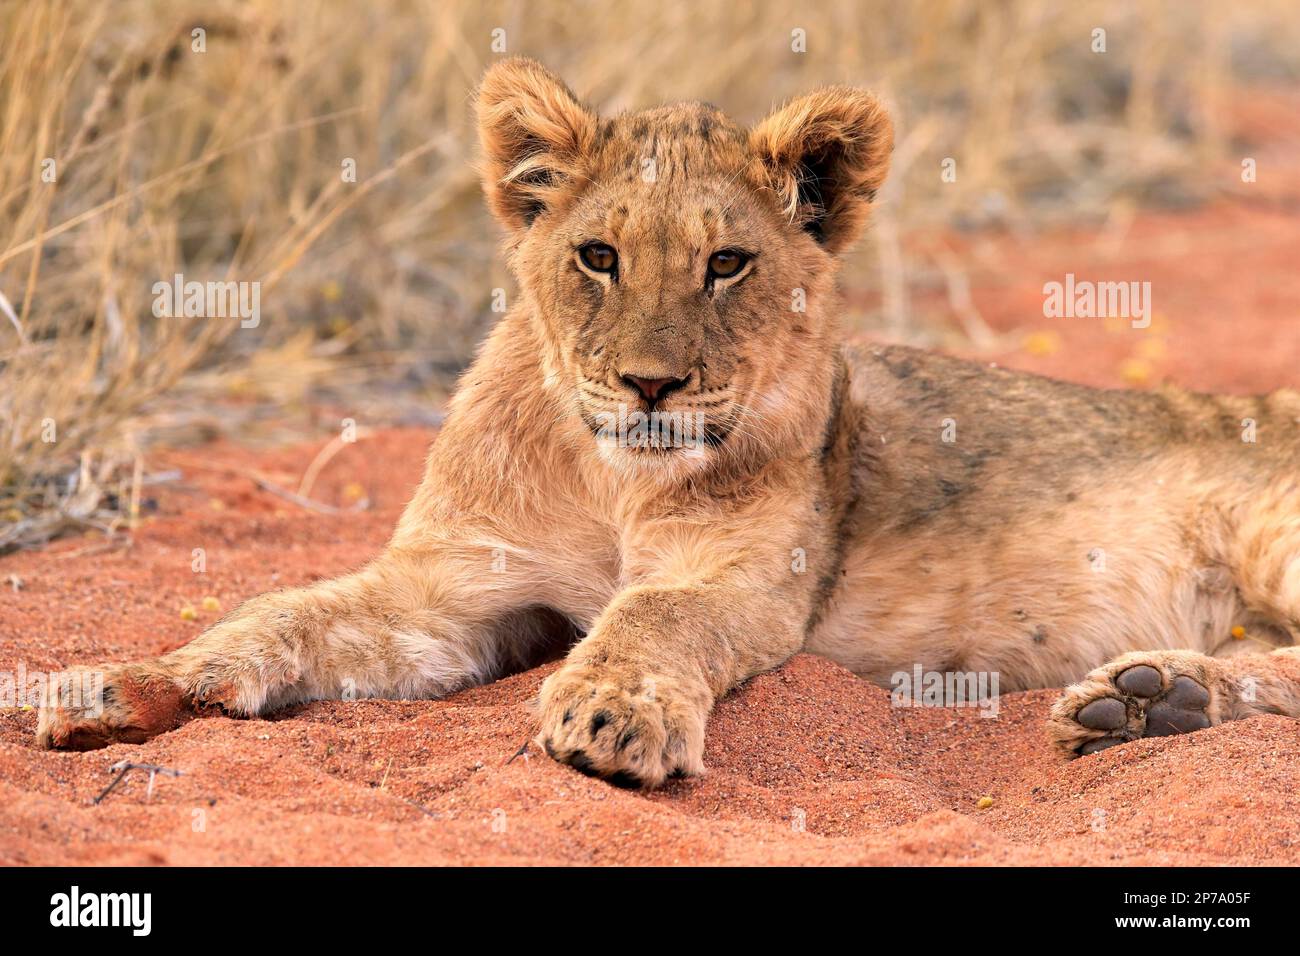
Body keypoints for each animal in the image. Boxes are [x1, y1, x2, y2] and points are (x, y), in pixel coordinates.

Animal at [37, 58, 1300, 786]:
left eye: (726, 263)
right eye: (598, 255)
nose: (649, 385)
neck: (609, 479)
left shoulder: (740, 582)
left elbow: (650, 618)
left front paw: (610, 717)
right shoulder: (453, 590)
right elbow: (282, 613)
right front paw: (117, 687)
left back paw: (1147, 700)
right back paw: (1151, 701)